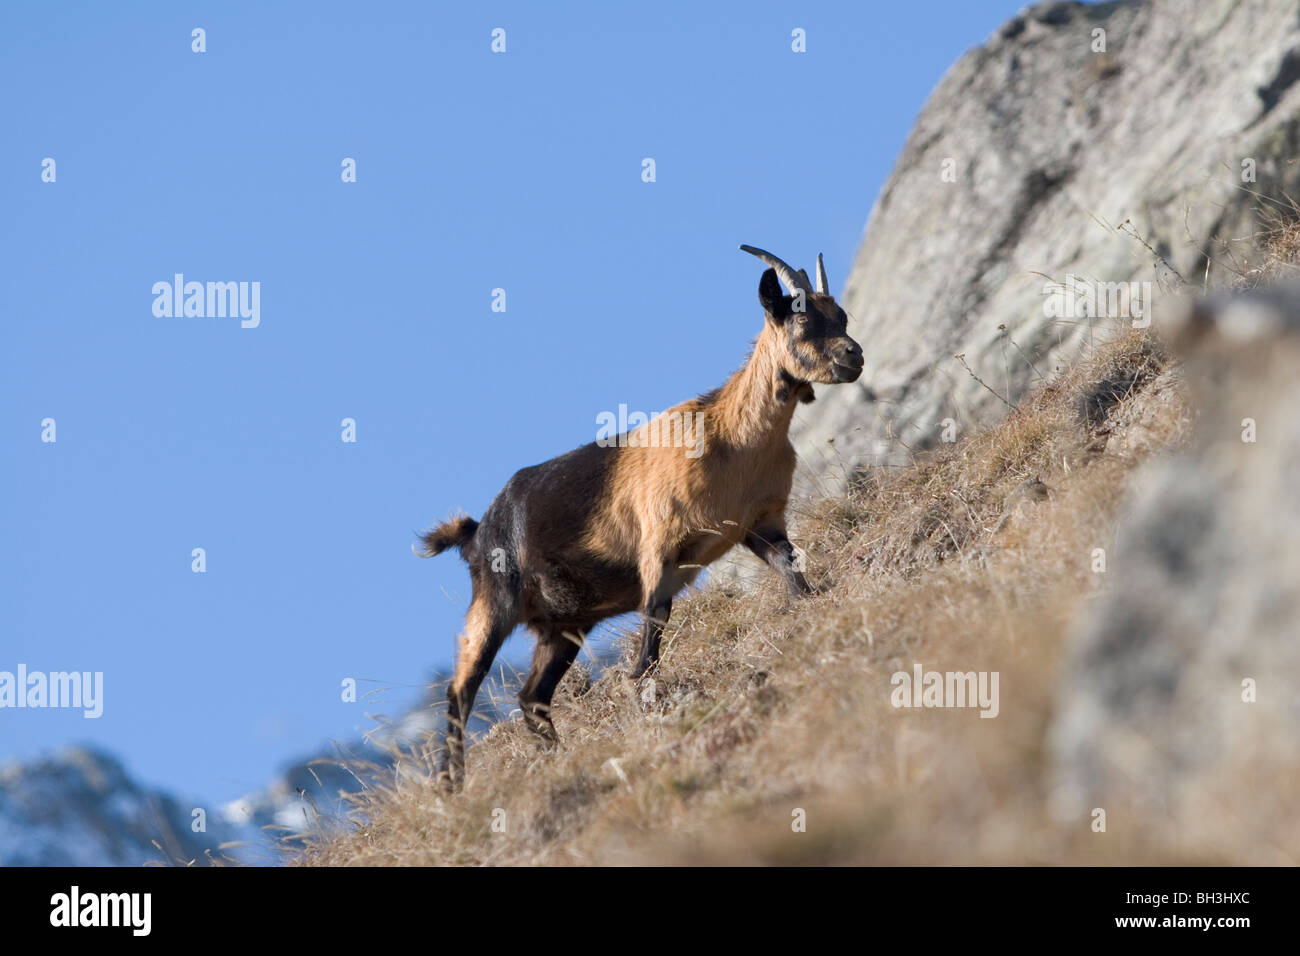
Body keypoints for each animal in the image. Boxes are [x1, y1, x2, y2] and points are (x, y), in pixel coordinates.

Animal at [417, 245, 863, 788]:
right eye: (800, 320)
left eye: (841, 316)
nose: (854, 356)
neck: (731, 438)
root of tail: (478, 531)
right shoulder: (658, 548)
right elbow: (653, 628)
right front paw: (643, 691)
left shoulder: (759, 524)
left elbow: (791, 569)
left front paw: (811, 604)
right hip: (494, 601)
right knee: (461, 689)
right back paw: (451, 783)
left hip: (563, 626)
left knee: (531, 697)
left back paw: (554, 756)